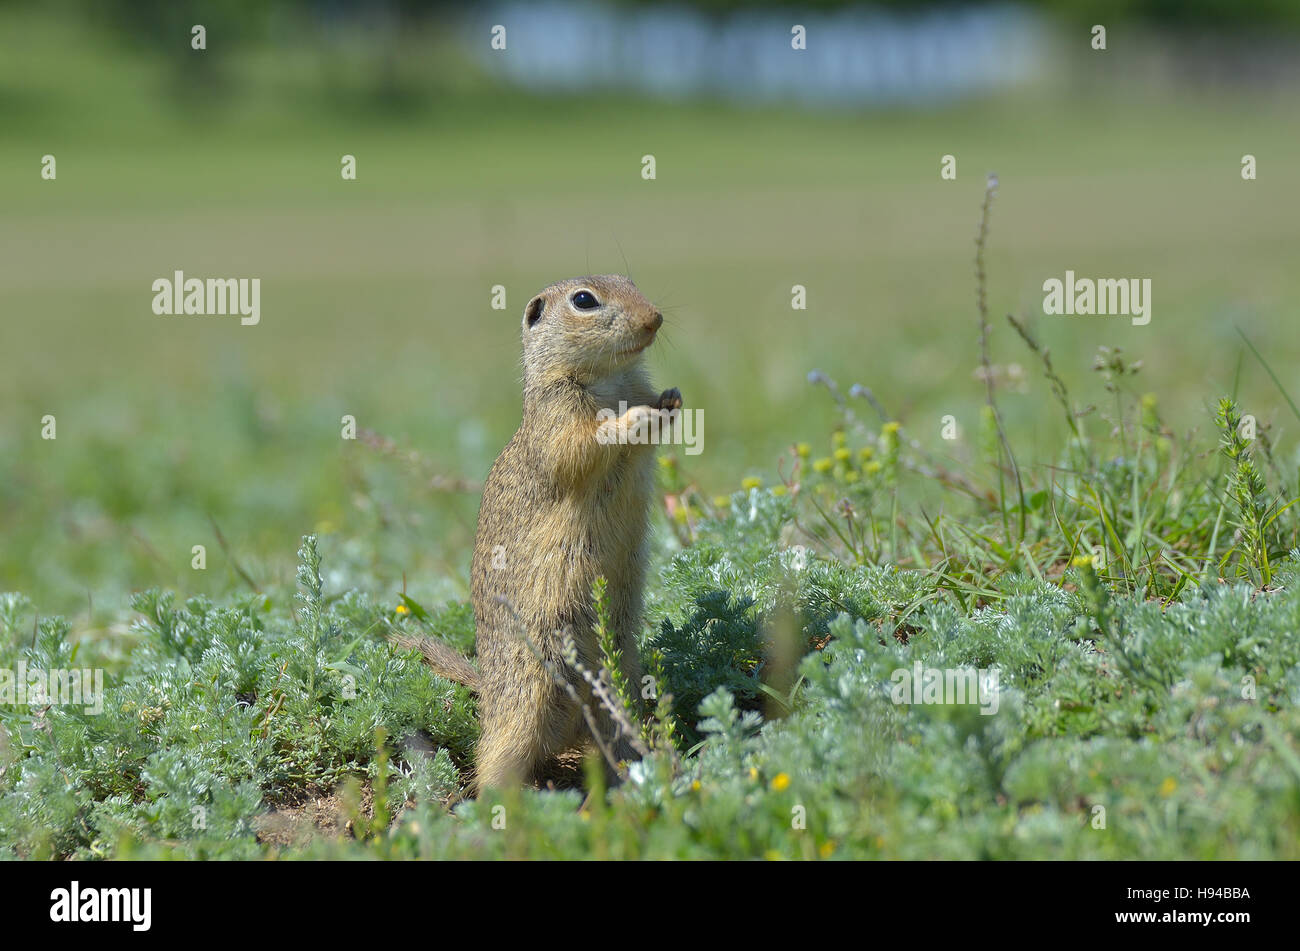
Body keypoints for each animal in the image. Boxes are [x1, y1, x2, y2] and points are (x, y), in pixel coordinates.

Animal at [393, 275, 681, 790]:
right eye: (584, 300)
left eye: (630, 281)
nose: (655, 319)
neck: (610, 377)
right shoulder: (557, 415)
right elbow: (580, 444)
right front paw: (632, 418)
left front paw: (670, 401)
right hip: (527, 689)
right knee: (494, 753)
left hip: (621, 675)